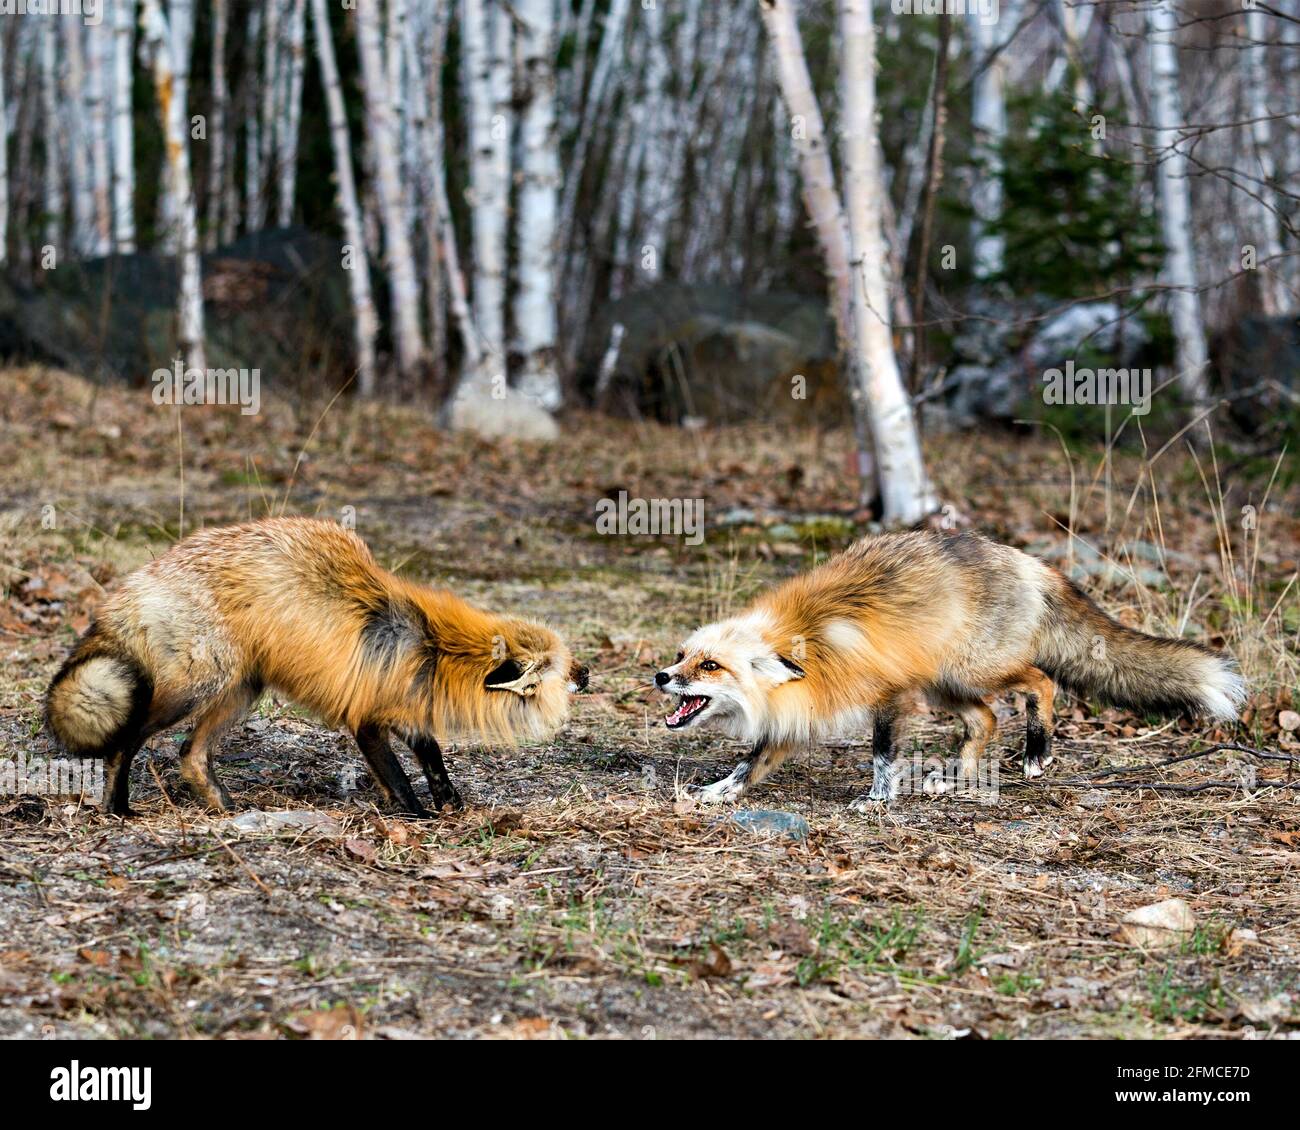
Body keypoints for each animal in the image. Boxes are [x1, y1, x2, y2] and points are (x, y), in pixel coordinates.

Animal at [45, 517, 588, 817]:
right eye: (561, 668)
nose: (588, 675)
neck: (435, 649)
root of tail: (137, 581)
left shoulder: (406, 711)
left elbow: (433, 759)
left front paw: (450, 803)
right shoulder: (366, 721)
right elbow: (400, 780)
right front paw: (419, 818)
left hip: (242, 690)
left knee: (190, 754)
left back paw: (224, 809)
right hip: (197, 688)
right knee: (125, 744)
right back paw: (117, 808)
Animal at [655, 530, 1245, 807]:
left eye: (710, 665)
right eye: (682, 654)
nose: (660, 677)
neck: (811, 647)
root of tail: (1030, 561)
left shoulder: (890, 694)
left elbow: (883, 753)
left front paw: (879, 798)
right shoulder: (799, 712)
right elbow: (748, 764)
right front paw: (718, 793)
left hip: (971, 671)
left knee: (1040, 683)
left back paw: (1037, 753)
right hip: (945, 686)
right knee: (986, 721)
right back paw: (959, 778)